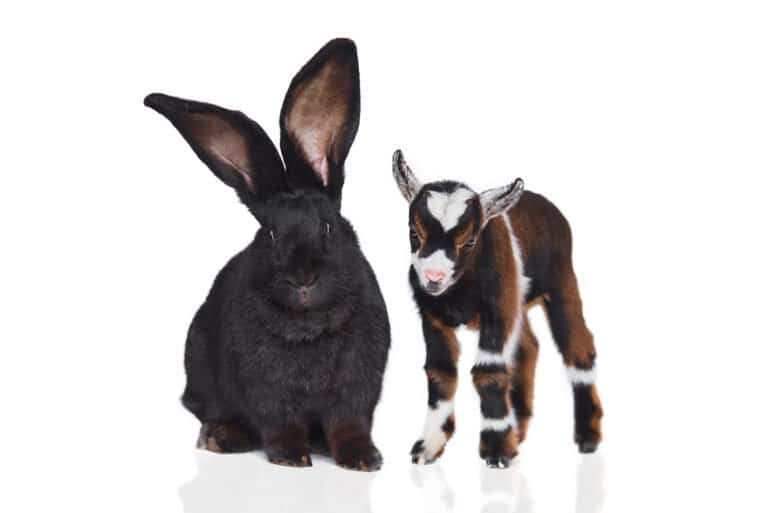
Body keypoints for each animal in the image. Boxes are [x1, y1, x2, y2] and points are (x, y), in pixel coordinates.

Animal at [144, 39, 390, 471]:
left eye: (328, 227)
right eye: (271, 234)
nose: (302, 277)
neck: (309, 325)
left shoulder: (359, 386)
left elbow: (349, 423)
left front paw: (363, 459)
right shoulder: (263, 389)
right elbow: (279, 422)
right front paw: (292, 457)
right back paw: (222, 437)